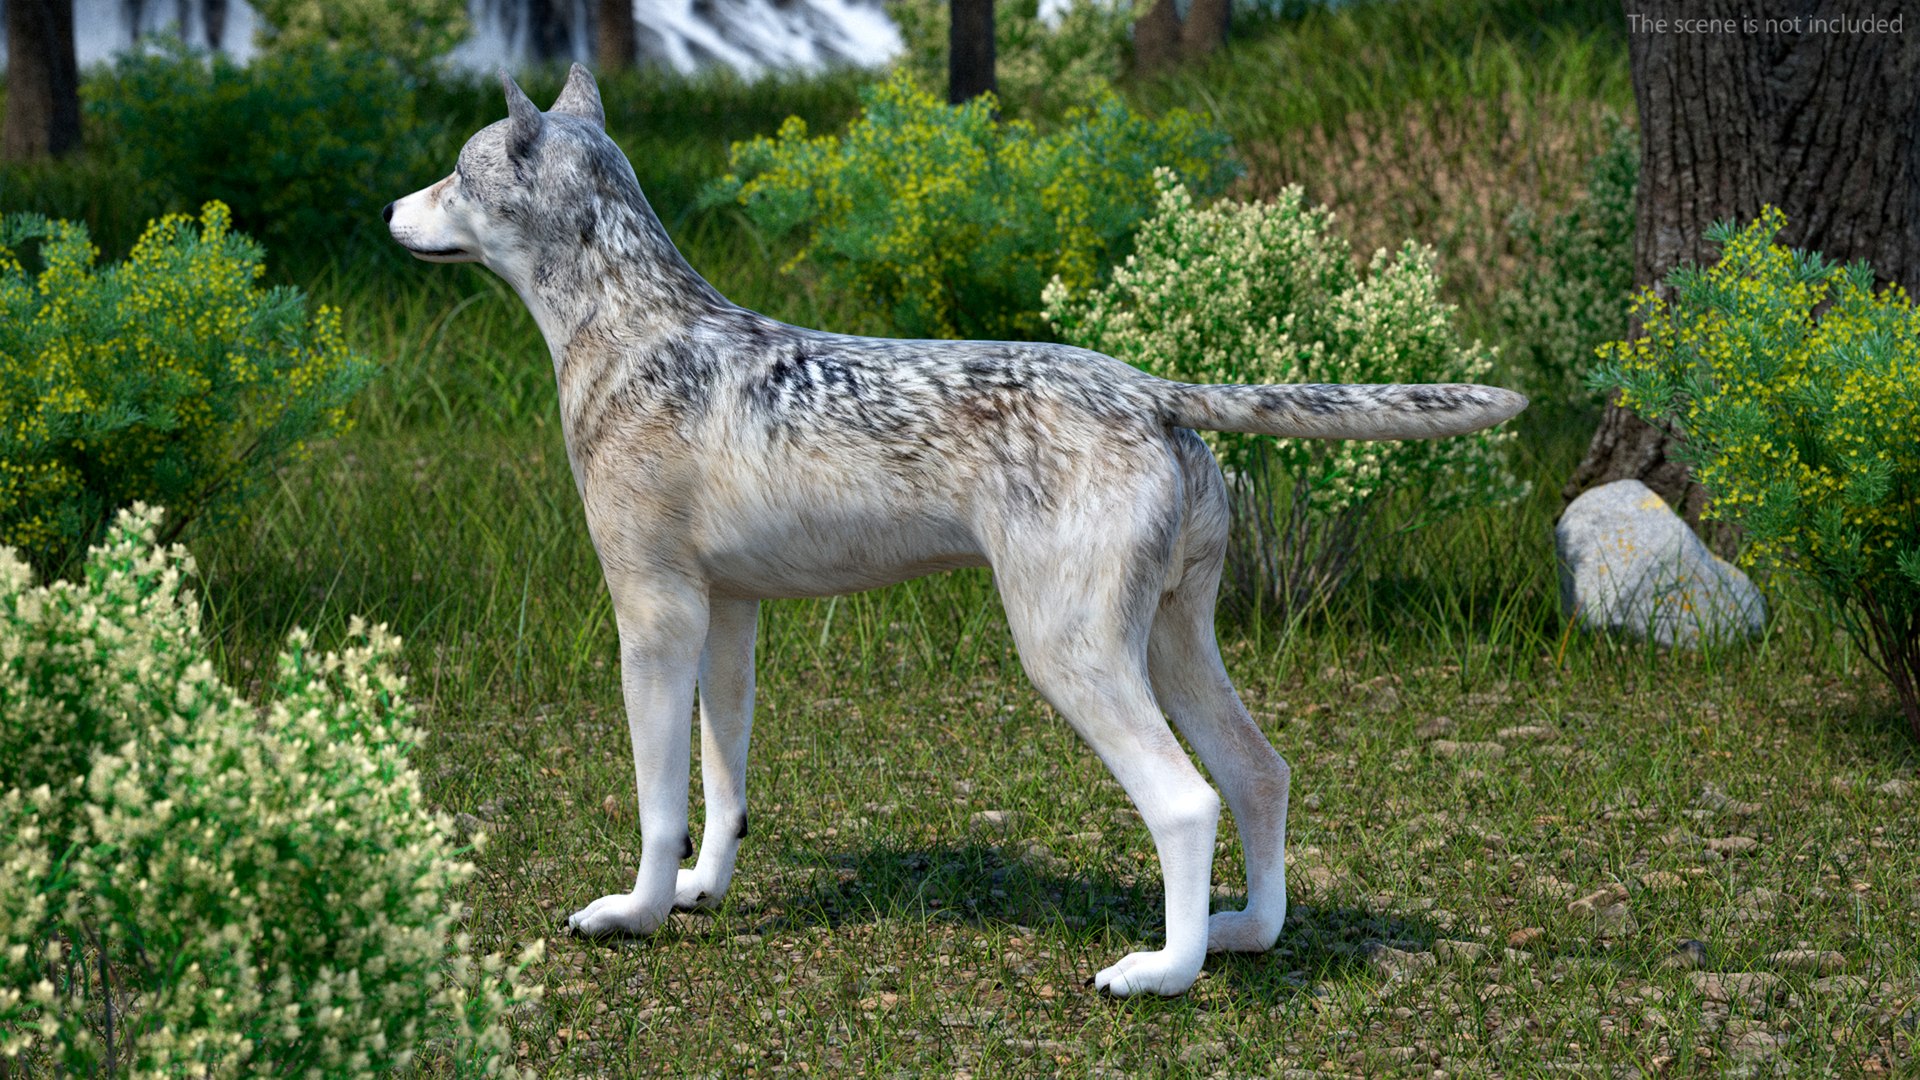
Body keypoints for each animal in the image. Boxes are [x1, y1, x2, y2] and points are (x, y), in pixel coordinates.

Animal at [385, 65, 1525, 997]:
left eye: (456, 173)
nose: (392, 211)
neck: (631, 324)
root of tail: (1153, 393)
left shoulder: (653, 617)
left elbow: (659, 799)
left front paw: (635, 913)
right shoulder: (729, 618)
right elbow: (726, 782)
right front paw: (703, 889)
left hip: (1072, 652)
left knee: (1186, 802)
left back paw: (1163, 972)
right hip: (1172, 636)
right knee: (1260, 771)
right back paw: (1242, 933)